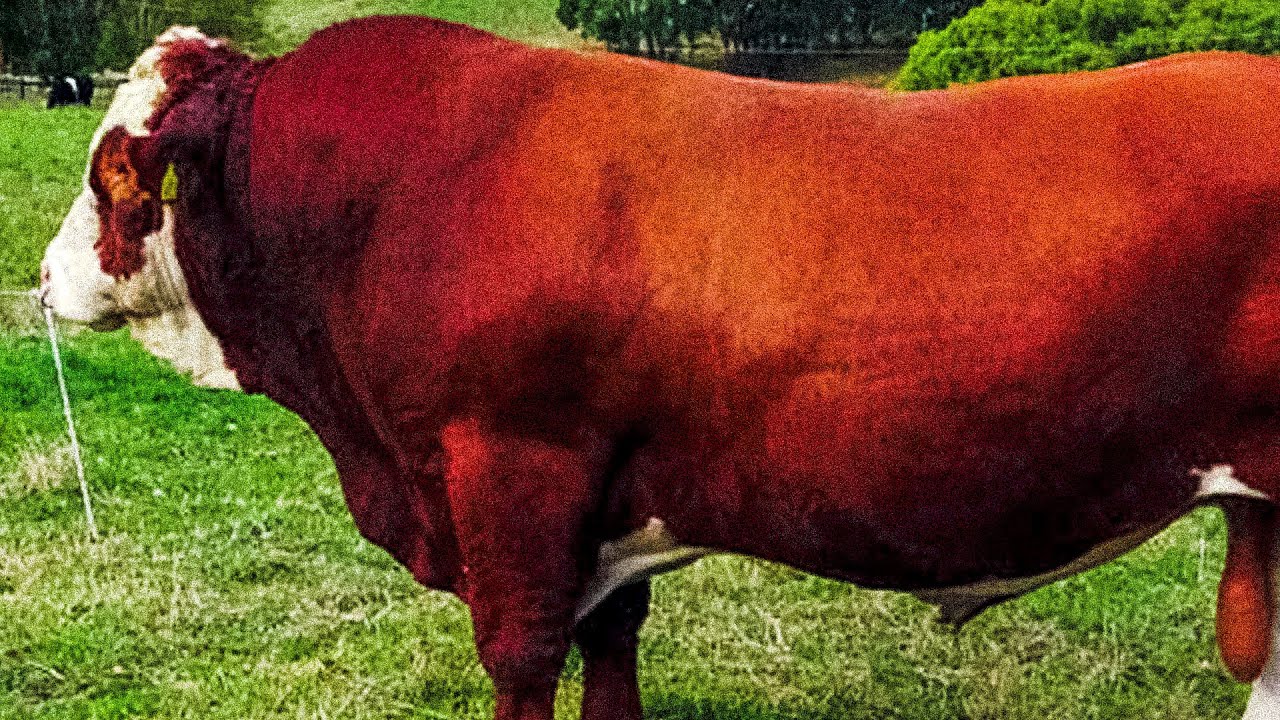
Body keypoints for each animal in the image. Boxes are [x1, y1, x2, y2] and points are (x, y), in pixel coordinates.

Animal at [35, 16, 1280, 720]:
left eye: (107, 169)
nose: (42, 279)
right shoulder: (604, 514)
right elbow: (612, 657)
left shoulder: (514, 475)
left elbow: (523, 661)